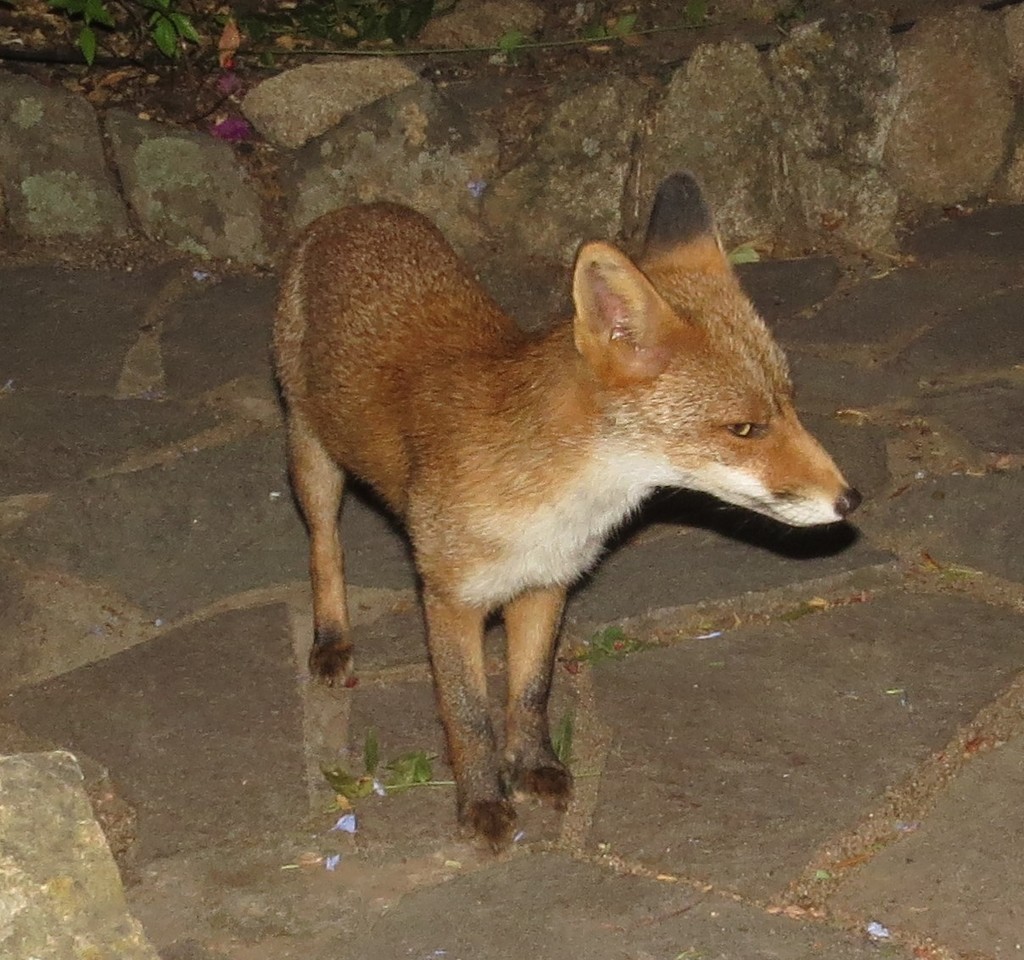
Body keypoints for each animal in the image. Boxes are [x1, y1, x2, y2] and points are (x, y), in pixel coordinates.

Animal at [273, 172, 861, 851]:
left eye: (789, 403)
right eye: (744, 428)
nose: (851, 499)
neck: (556, 503)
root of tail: (353, 210)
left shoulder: (545, 585)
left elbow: (529, 693)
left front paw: (533, 767)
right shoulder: (449, 599)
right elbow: (468, 715)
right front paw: (483, 803)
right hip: (313, 459)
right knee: (324, 547)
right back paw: (330, 638)